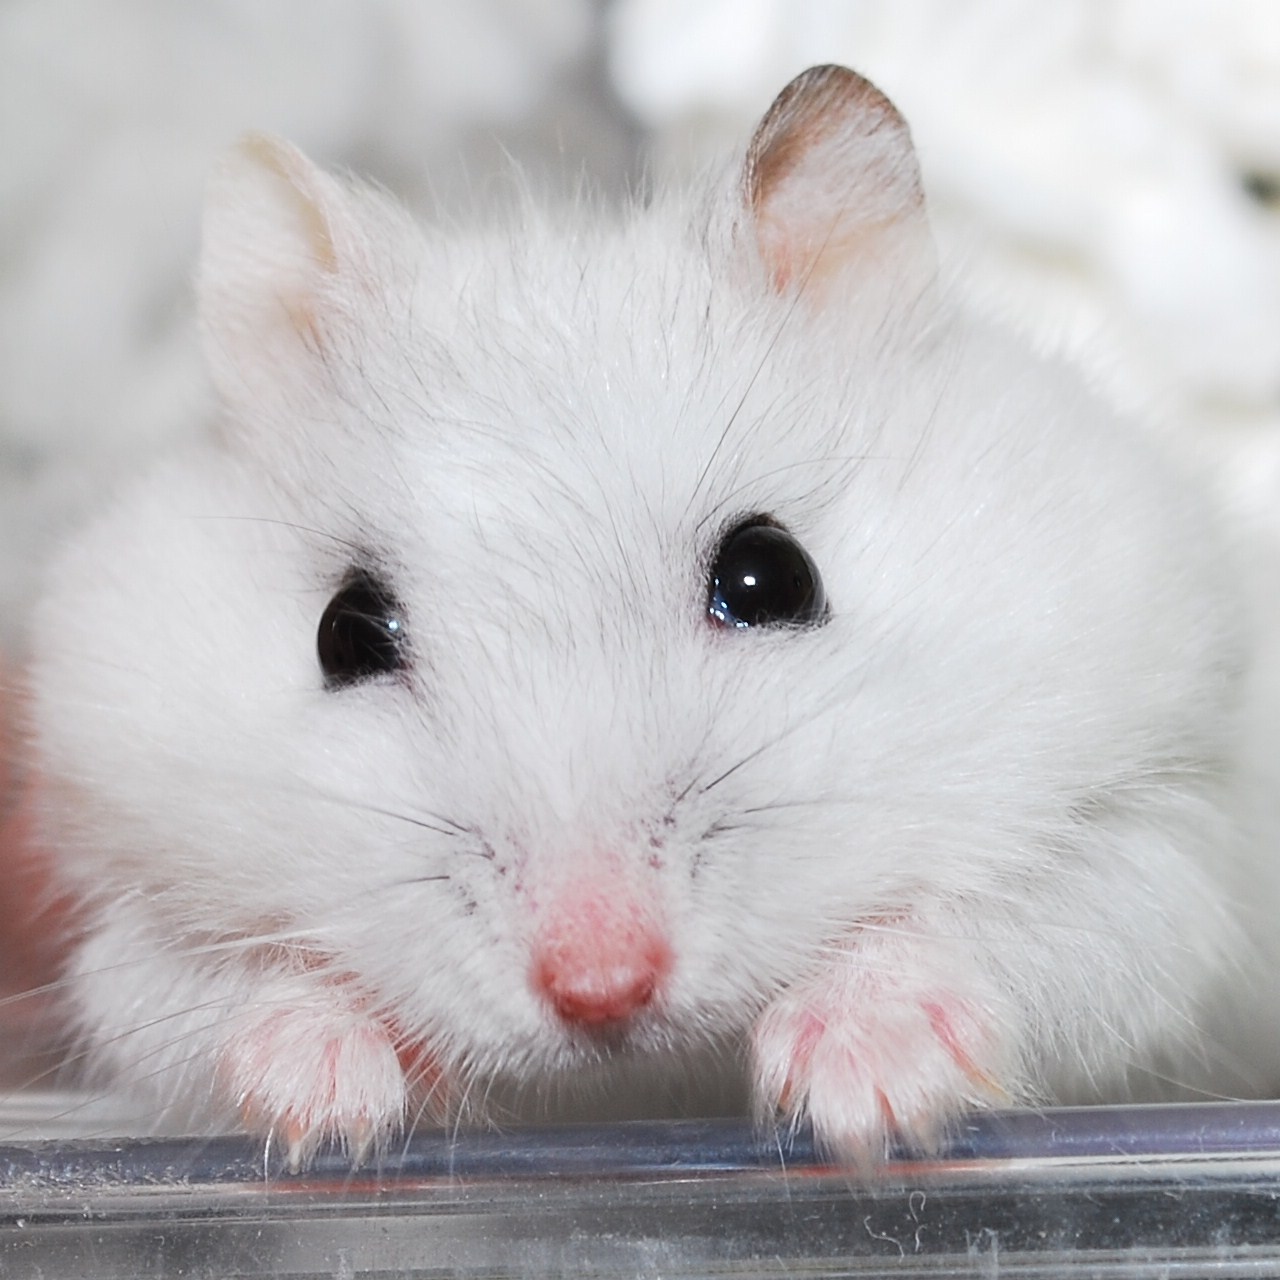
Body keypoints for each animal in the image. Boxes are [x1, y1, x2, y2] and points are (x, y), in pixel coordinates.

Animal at [26, 64, 1280, 1170]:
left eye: (772, 576)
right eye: (346, 633)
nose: (600, 987)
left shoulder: (1160, 844)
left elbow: (1027, 937)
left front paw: (861, 1098)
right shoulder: (131, 939)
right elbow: (199, 1005)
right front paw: (319, 1109)